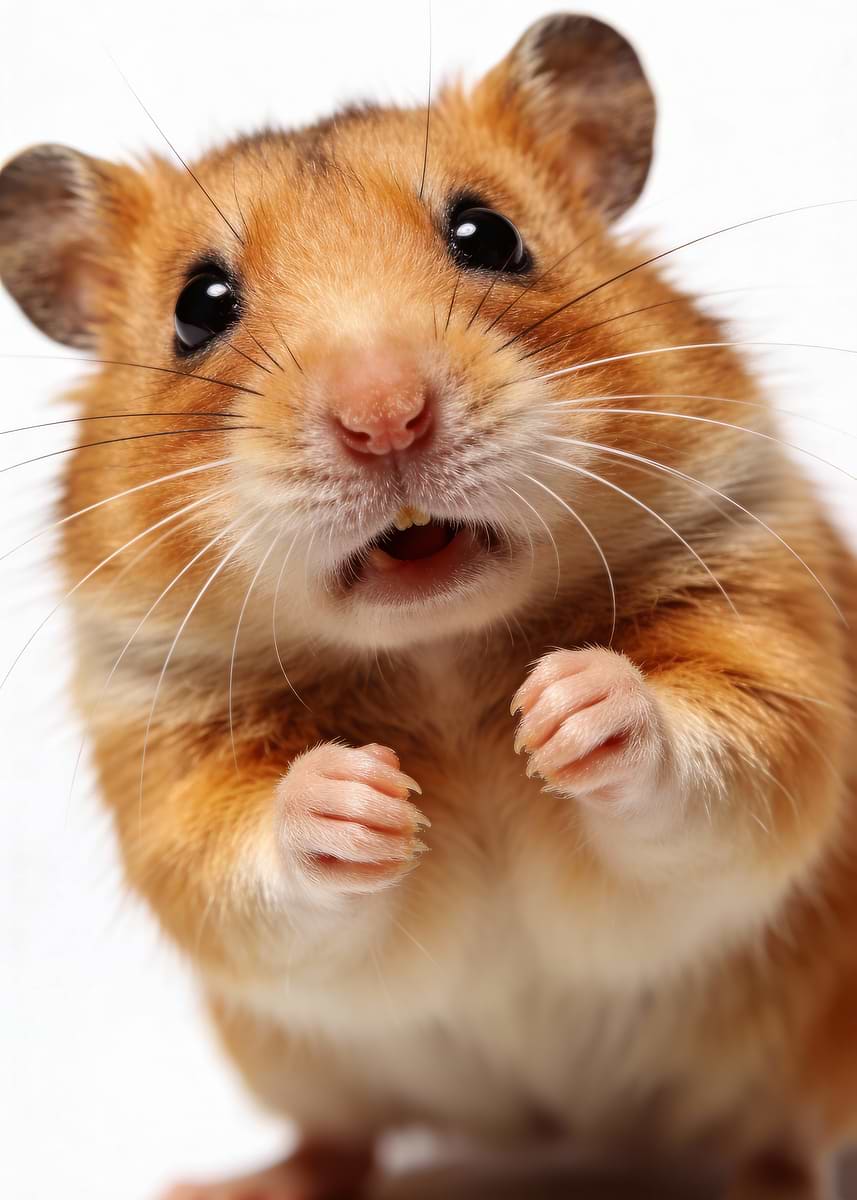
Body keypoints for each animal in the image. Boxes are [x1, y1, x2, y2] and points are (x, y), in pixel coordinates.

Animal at [2, 12, 856, 1199]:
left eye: (486, 234)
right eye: (197, 307)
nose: (384, 417)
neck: (437, 647)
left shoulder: (761, 621)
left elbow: (719, 756)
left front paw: (570, 703)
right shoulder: (165, 757)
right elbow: (239, 856)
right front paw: (355, 795)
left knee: (770, 1146)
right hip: (295, 1065)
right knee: (335, 1141)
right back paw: (235, 1181)